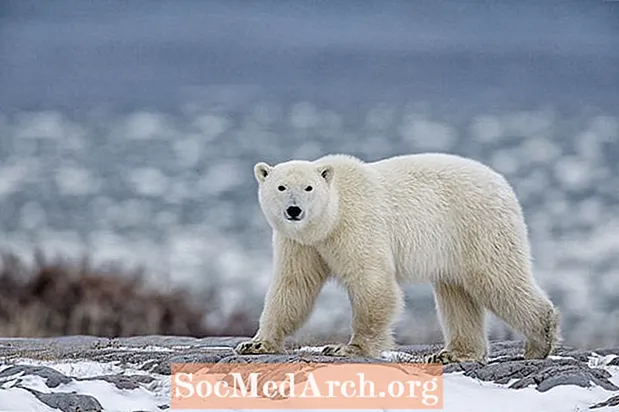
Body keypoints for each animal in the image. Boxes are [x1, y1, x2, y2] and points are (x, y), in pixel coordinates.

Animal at [235, 152, 560, 364]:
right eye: (281, 187)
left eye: (308, 187)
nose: (294, 210)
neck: (330, 218)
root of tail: (503, 184)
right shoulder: (300, 243)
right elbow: (293, 286)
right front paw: (256, 344)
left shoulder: (357, 225)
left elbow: (372, 282)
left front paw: (347, 348)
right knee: (456, 293)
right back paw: (452, 353)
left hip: (477, 226)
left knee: (496, 279)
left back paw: (539, 341)